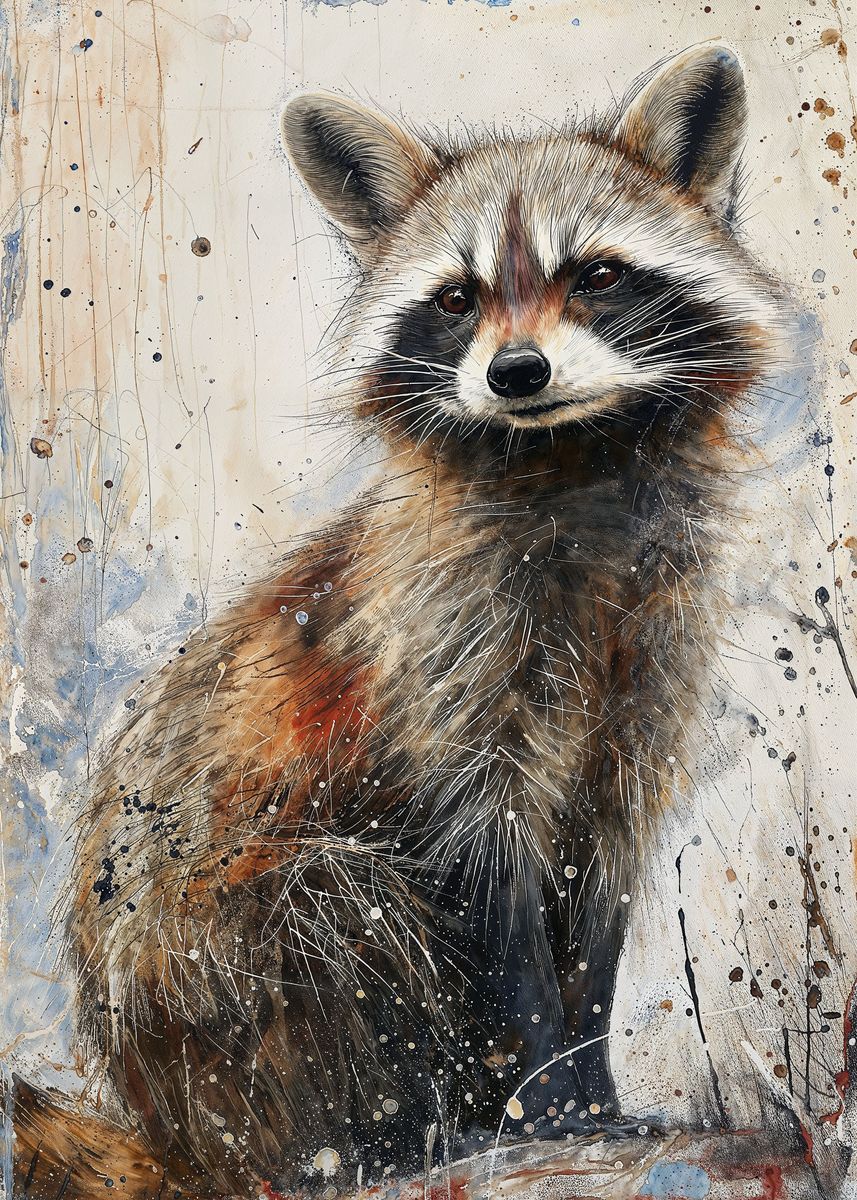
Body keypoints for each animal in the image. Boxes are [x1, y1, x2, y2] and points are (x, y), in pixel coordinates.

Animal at [53, 45, 779, 1198]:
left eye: (598, 276)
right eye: (454, 298)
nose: (516, 372)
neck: (571, 463)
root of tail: (170, 1129)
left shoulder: (641, 685)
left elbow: (596, 901)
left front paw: (589, 1088)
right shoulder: (445, 678)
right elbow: (488, 899)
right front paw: (542, 1099)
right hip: (217, 963)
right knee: (340, 910)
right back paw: (384, 1137)